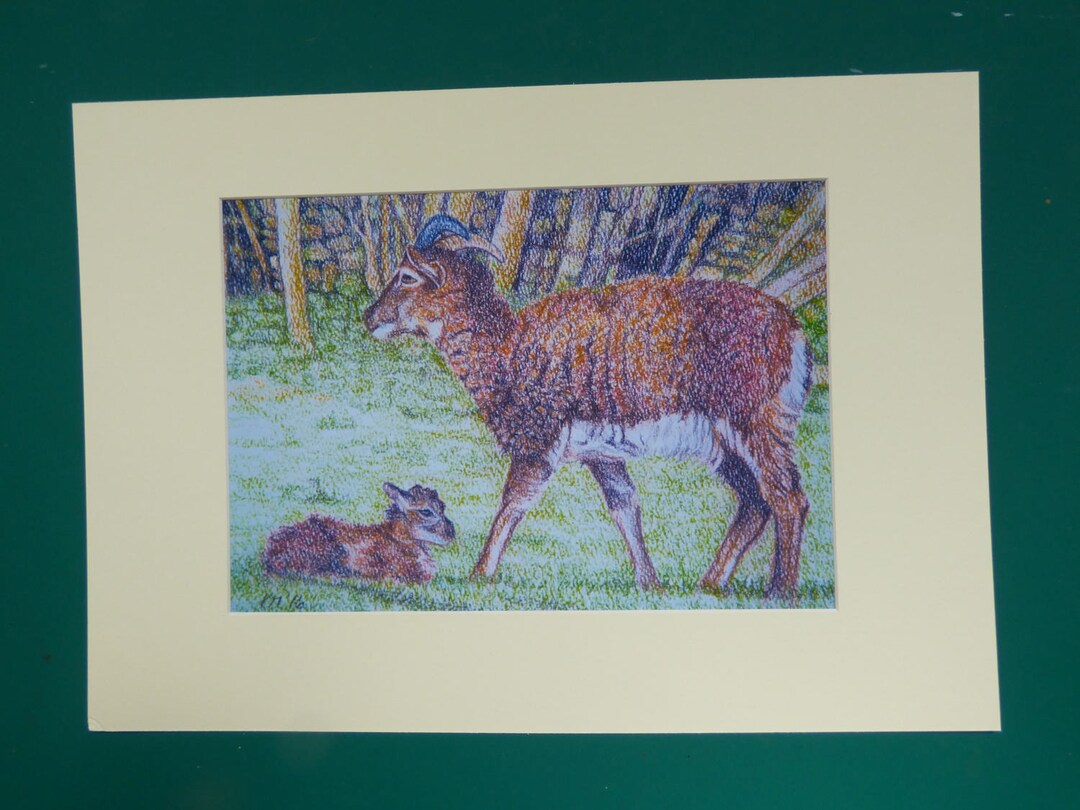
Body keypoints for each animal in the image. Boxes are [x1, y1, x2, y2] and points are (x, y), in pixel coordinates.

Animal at [363, 214, 813, 599]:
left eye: (407, 276)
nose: (369, 317)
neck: (508, 345)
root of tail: (792, 330)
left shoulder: (538, 442)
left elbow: (512, 505)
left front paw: (478, 576)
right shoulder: (602, 454)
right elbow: (625, 507)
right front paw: (651, 585)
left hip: (757, 426)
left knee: (787, 498)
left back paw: (780, 592)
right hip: (722, 444)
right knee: (755, 503)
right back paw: (709, 585)